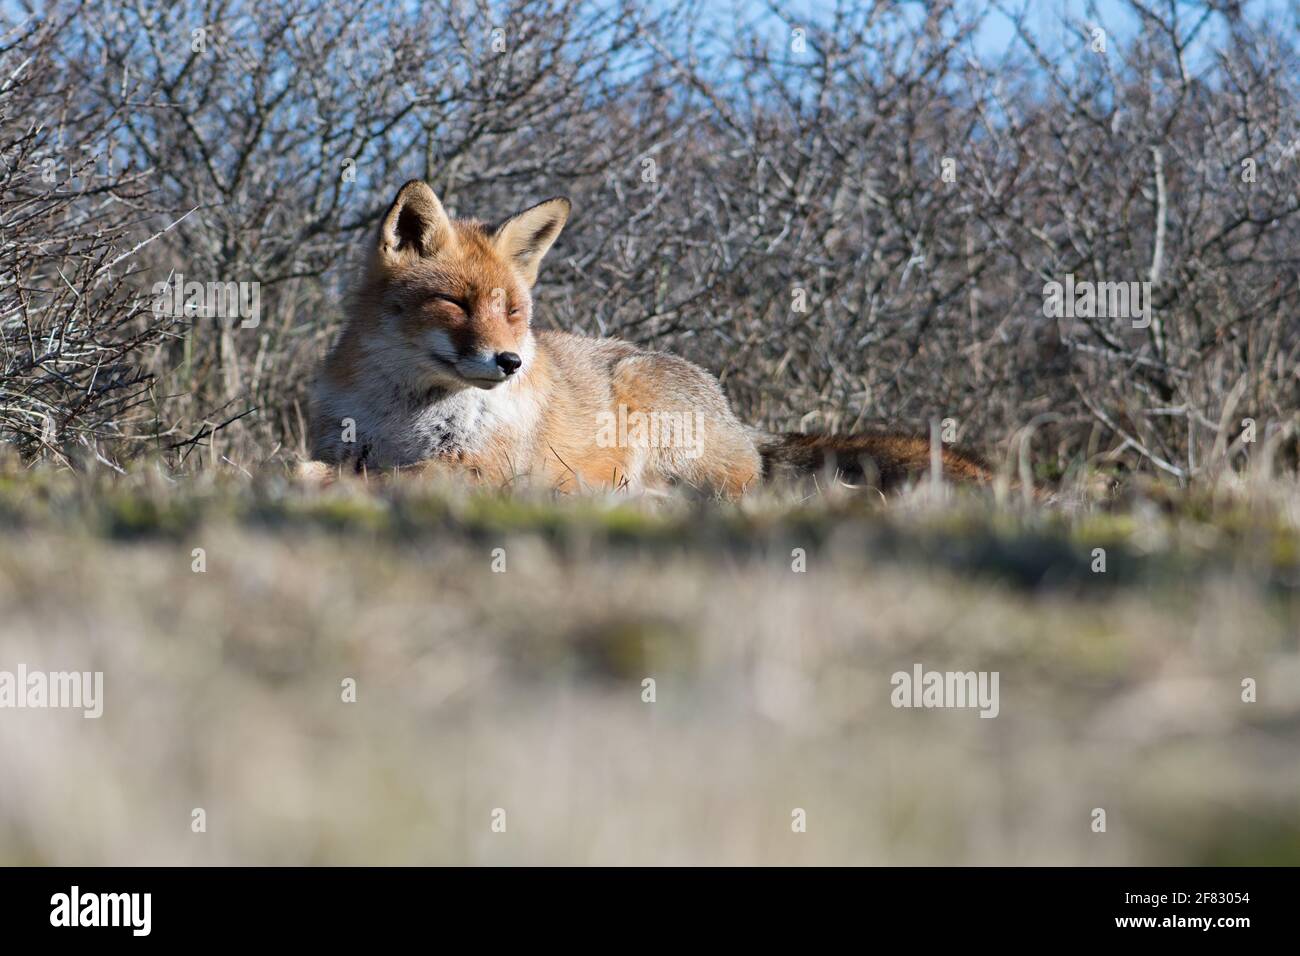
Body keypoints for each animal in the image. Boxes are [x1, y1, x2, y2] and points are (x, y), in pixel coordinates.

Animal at [303, 180, 991, 496]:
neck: (407, 413)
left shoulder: (481, 466)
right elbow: (347, 465)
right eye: (456, 304)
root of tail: (739, 419)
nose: (510, 361)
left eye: (515, 311)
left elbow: (383, 477)